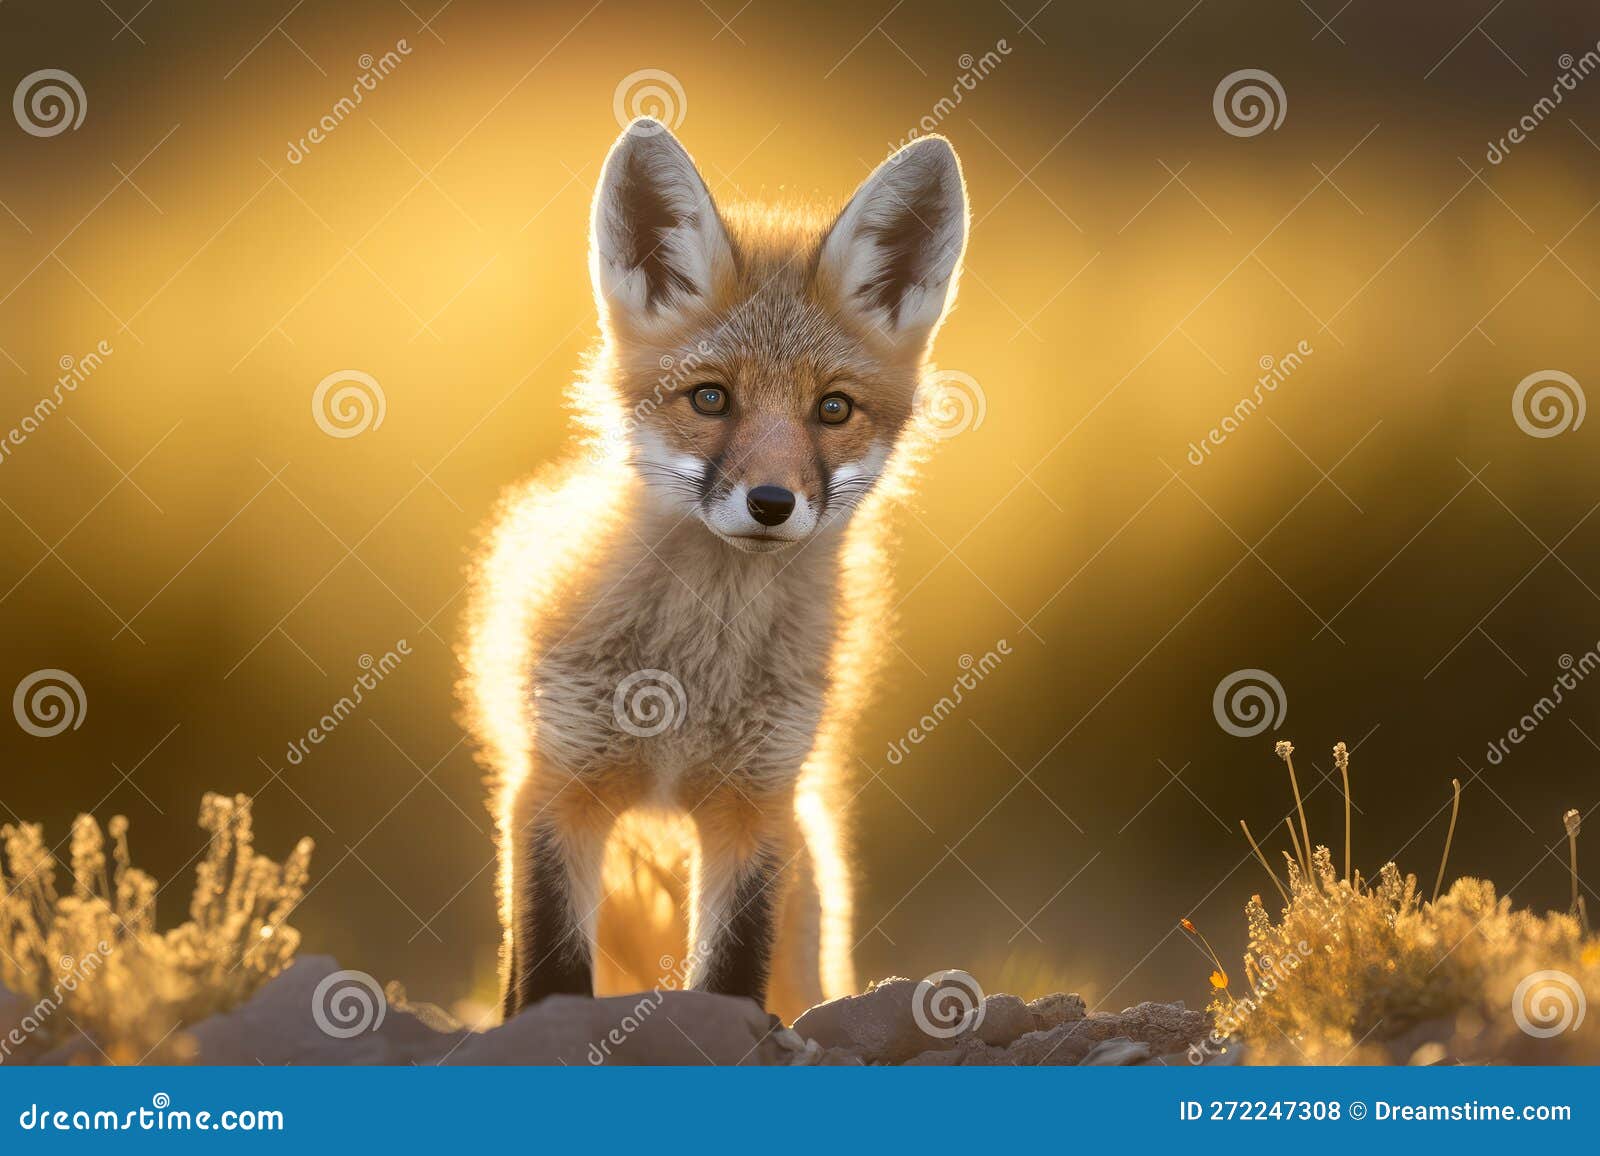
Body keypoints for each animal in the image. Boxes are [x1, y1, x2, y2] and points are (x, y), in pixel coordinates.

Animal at [459, 117, 969, 1025]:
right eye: (709, 398)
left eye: (832, 409)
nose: (770, 502)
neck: (693, 674)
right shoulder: (555, 785)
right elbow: (550, 974)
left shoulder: (756, 806)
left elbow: (732, 972)